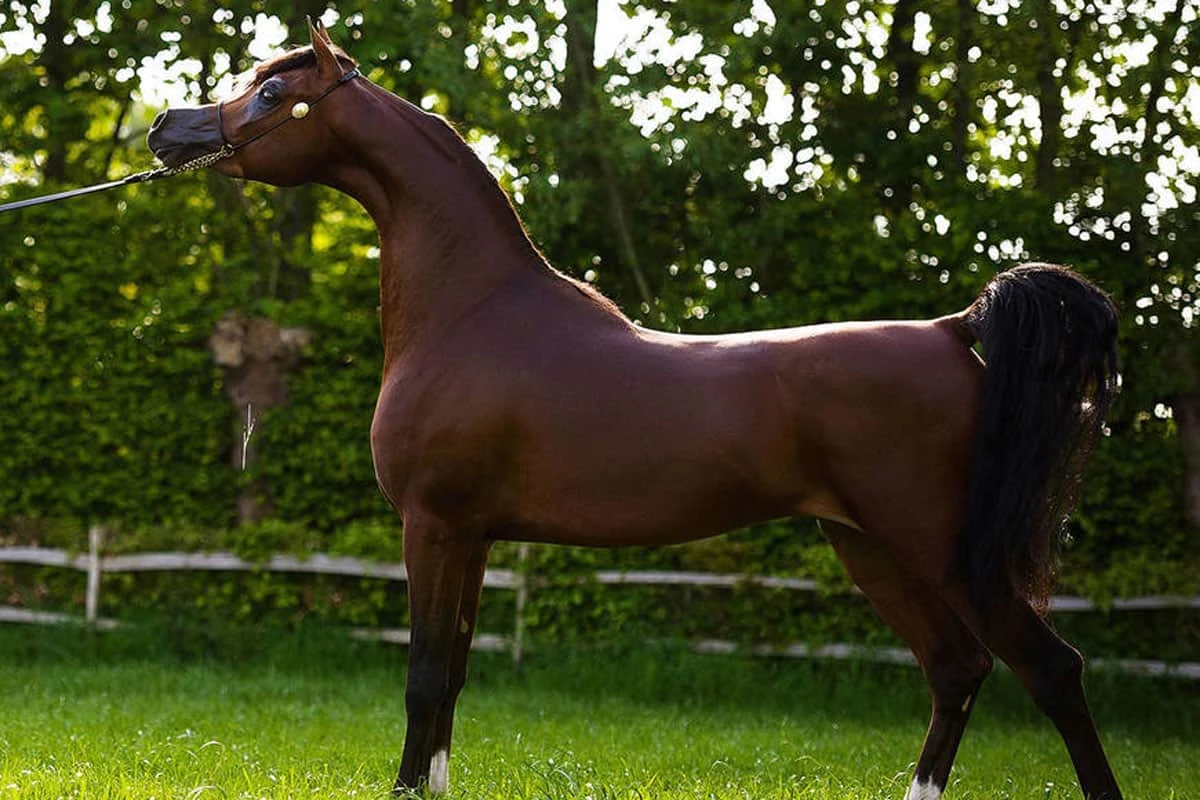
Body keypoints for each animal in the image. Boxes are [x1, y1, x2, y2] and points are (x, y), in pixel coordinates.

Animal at [147, 21, 1123, 800]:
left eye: (272, 91)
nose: (165, 128)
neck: (471, 310)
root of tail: (952, 330)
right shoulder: (474, 536)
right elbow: (453, 674)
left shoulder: (432, 523)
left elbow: (423, 675)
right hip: (869, 547)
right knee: (956, 670)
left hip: (943, 549)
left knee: (1052, 670)